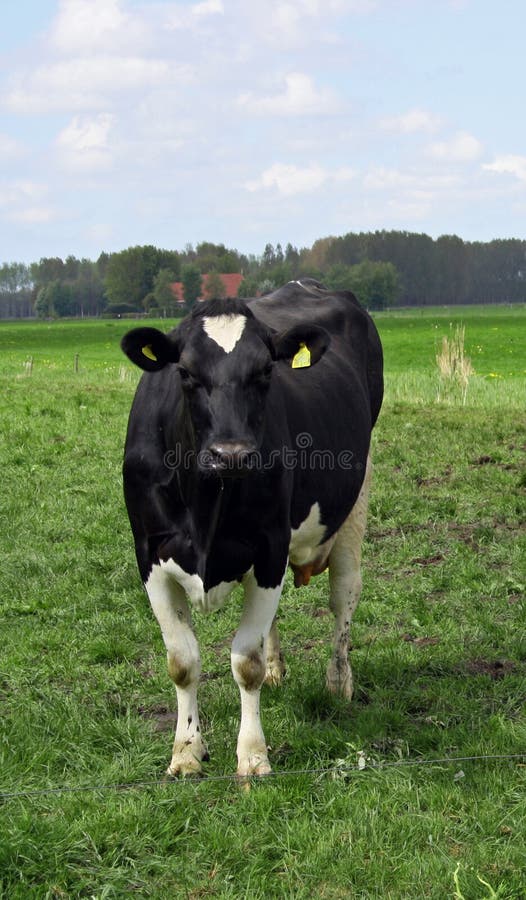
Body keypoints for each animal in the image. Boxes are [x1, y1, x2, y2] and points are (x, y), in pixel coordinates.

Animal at [121, 279, 383, 777]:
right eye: (185, 372)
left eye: (265, 372)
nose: (232, 454)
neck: (206, 505)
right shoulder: (151, 555)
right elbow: (182, 661)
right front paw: (186, 751)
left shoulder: (268, 549)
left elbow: (246, 663)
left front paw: (253, 755)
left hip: (355, 495)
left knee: (344, 593)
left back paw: (339, 681)